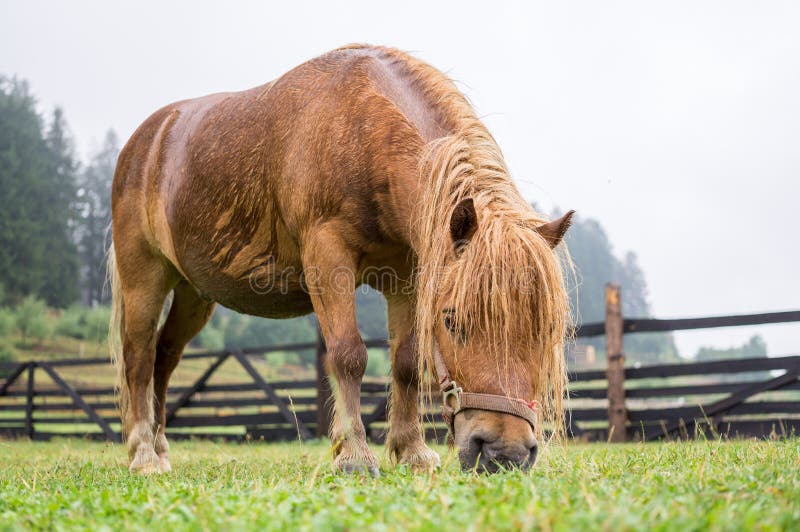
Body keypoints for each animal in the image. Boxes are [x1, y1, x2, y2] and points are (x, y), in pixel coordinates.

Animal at [108, 44, 573, 475]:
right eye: (452, 320)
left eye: (548, 327)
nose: (505, 453)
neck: (362, 128)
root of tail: (145, 142)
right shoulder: (328, 257)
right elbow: (348, 355)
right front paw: (353, 455)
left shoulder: (407, 275)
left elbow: (406, 364)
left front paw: (412, 451)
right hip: (144, 277)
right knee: (139, 357)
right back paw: (143, 453)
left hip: (193, 294)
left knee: (165, 357)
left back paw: (161, 448)